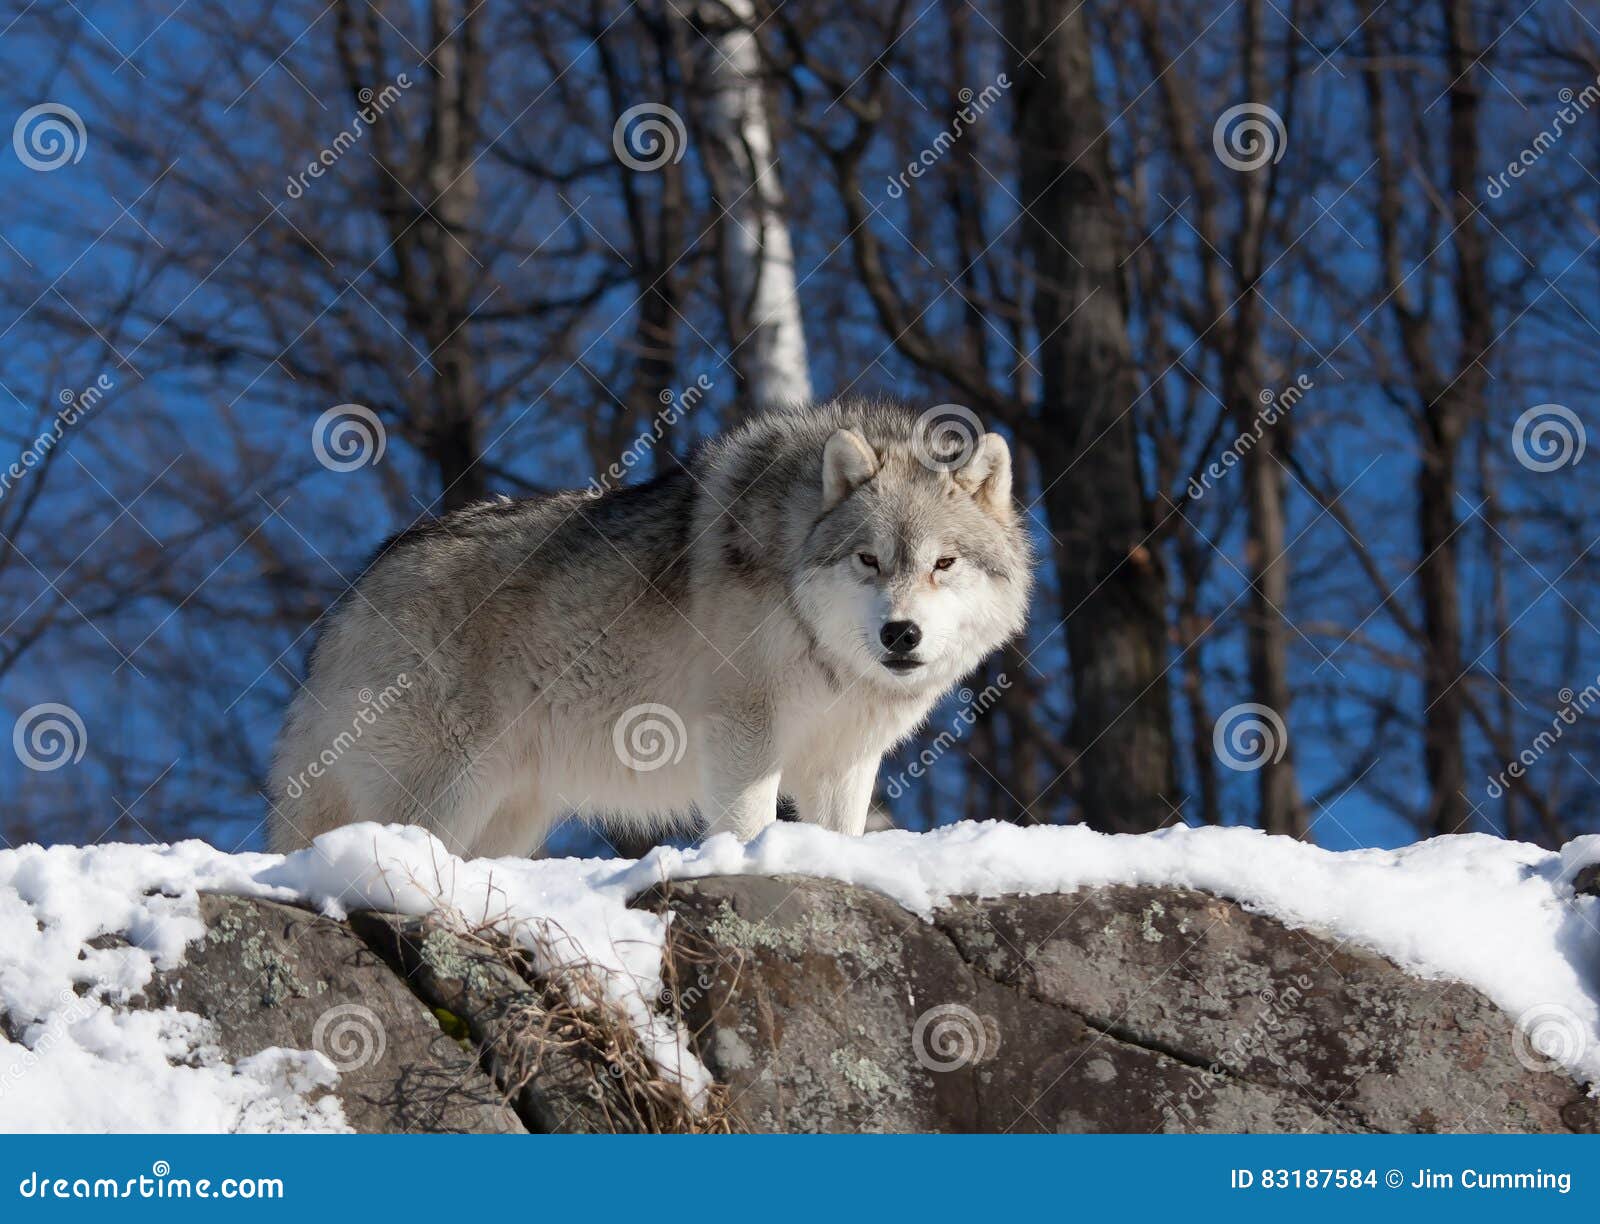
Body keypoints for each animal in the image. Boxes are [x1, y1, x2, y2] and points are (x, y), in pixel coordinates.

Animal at [268, 398, 1032, 859]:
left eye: (943, 563)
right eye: (869, 560)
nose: (901, 635)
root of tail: (353, 593)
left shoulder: (844, 760)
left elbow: (838, 832)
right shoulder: (743, 733)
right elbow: (748, 824)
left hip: (509, 815)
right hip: (441, 794)